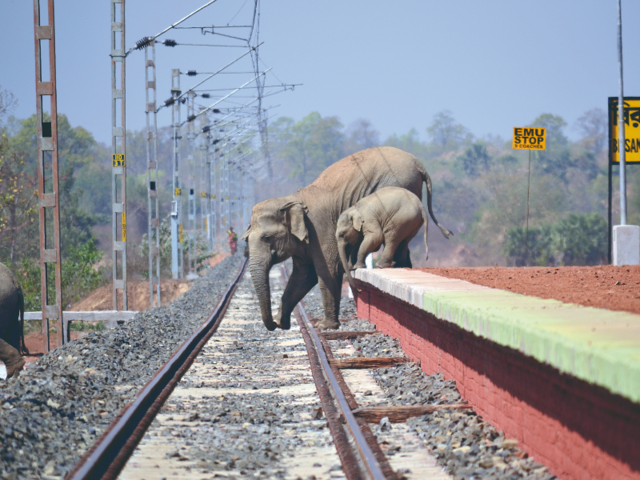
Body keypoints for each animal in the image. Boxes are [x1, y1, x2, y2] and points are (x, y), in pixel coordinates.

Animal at [243, 146, 452, 331]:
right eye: (246, 239)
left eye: (267, 238)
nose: (273, 324)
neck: (291, 199)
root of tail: (419, 164)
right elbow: (302, 276)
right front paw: (283, 323)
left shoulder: (320, 230)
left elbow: (326, 271)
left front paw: (325, 327)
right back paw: (398, 267)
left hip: (399, 184)